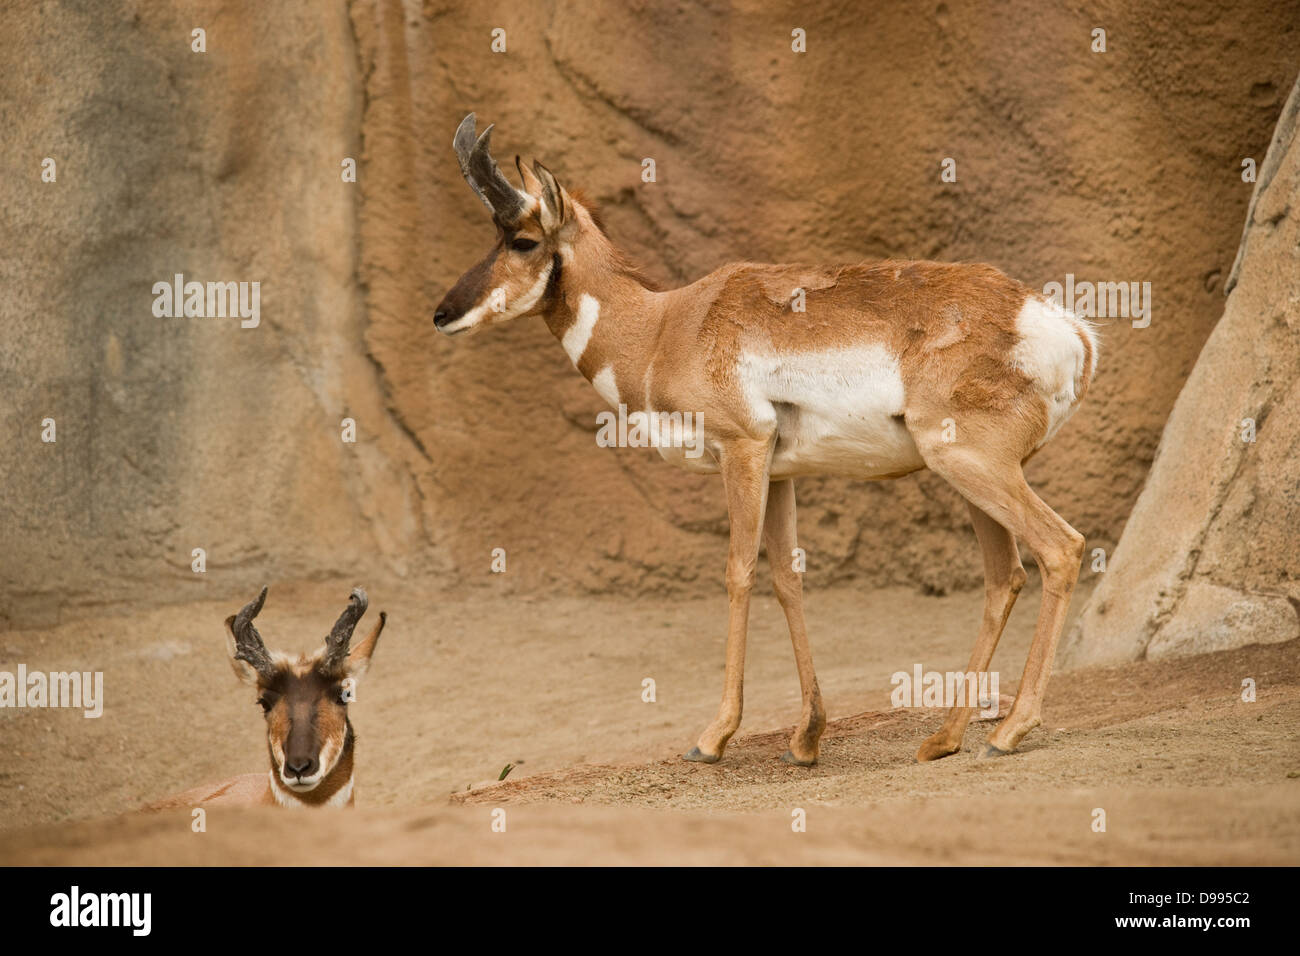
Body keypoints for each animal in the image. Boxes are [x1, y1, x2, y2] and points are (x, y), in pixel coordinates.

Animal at [434, 114, 1097, 765]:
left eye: (522, 240)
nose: (442, 314)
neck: (664, 328)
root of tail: (1064, 327)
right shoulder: (780, 475)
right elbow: (787, 579)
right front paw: (806, 738)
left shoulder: (743, 452)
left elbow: (737, 573)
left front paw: (713, 737)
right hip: (967, 477)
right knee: (1004, 576)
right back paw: (945, 738)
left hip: (973, 465)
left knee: (1061, 549)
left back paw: (1009, 731)